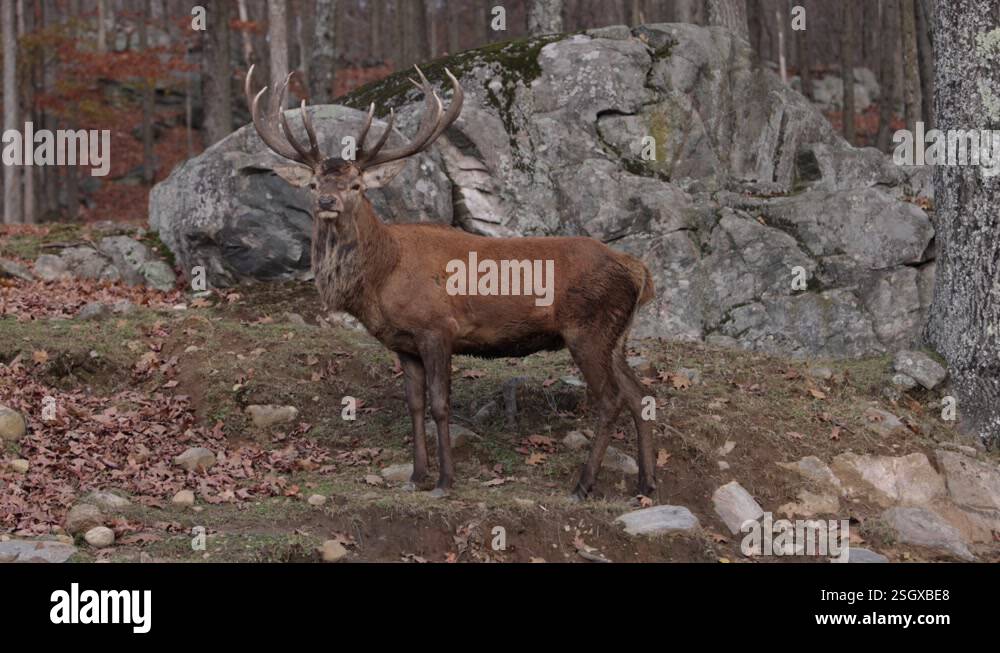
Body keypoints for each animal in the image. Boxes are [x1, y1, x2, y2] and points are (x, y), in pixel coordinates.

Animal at [244, 64, 657, 500]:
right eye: (313, 183)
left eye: (356, 184)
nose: (327, 202)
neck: (383, 274)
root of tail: (637, 269)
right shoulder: (403, 343)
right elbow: (414, 405)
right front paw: (416, 476)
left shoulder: (438, 328)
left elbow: (441, 405)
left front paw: (444, 480)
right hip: (616, 335)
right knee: (640, 394)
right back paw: (646, 483)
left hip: (588, 329)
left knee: (611, 399)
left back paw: (583, 484)